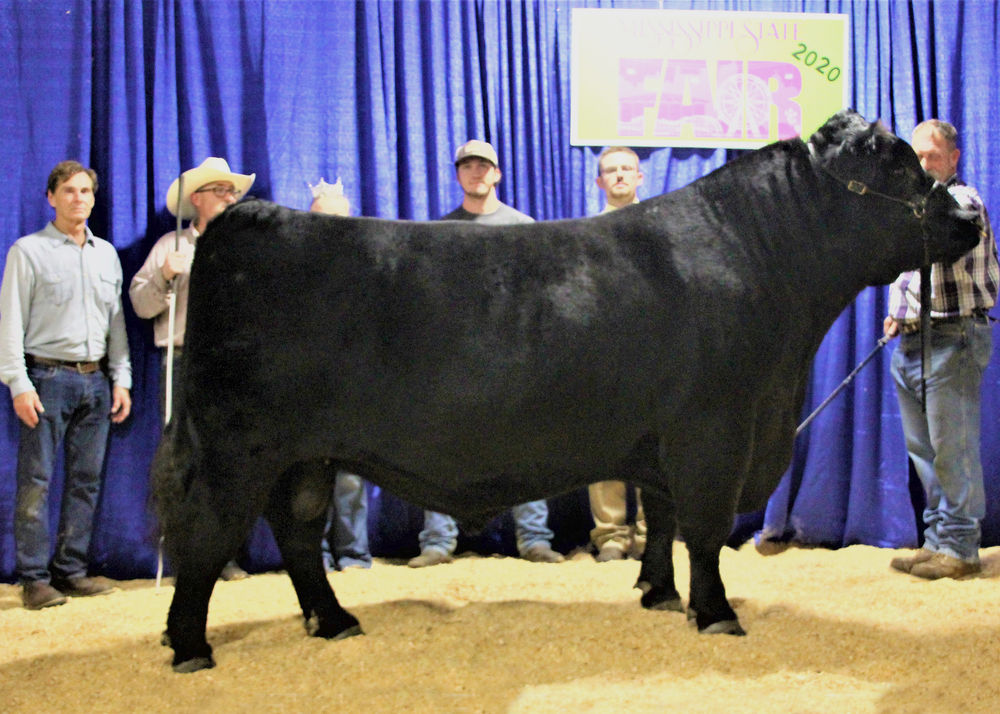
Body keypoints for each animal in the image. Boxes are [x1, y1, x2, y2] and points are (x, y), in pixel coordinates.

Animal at [153, 110, 980, 672]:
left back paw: (333, 622)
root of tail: (250, 216)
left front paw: (659, 595)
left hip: (304, 455)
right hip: (235, 445)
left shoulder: (667, 436)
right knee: (206, 532)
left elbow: (664, 518)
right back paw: (191, 647)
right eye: (904, 168)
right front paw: (715, 614)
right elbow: (706, 527)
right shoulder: (716, 427)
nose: (971, 215)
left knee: (296, 534)